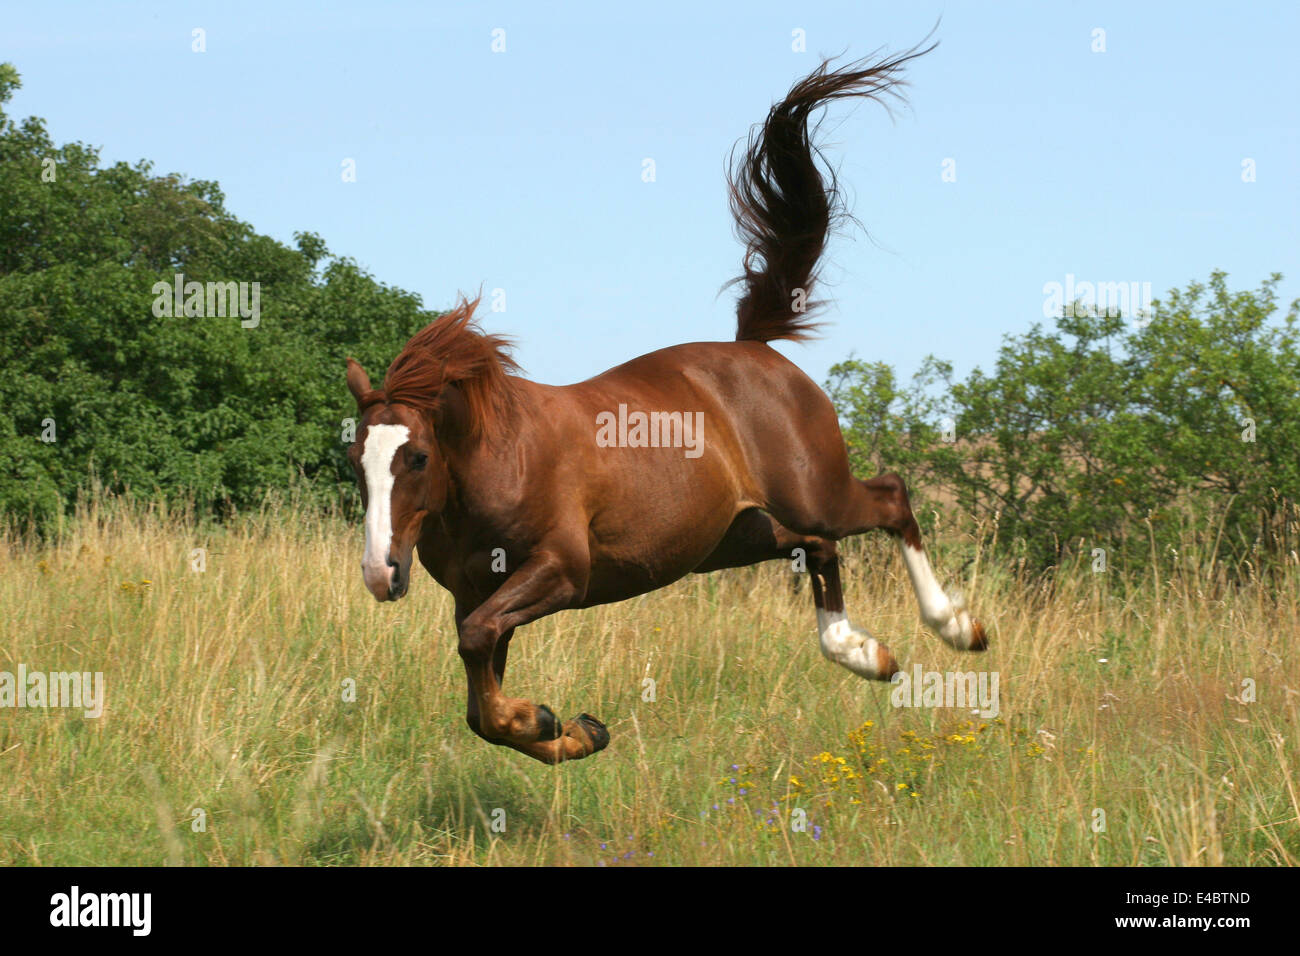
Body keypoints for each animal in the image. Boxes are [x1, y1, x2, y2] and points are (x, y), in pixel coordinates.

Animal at [344, 43, 987, 765]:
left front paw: (555, 722)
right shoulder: (475, 595)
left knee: (890, 499)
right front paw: (570, 728)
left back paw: (956, 626)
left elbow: (480, 651)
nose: (380, 574)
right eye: (354, 461)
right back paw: (862, 652)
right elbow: (480, 703)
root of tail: (755, 350)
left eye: (418, 458)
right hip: (735, 535)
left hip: (811, 491)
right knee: (816, 546)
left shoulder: (561, 570)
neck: (497, 463)